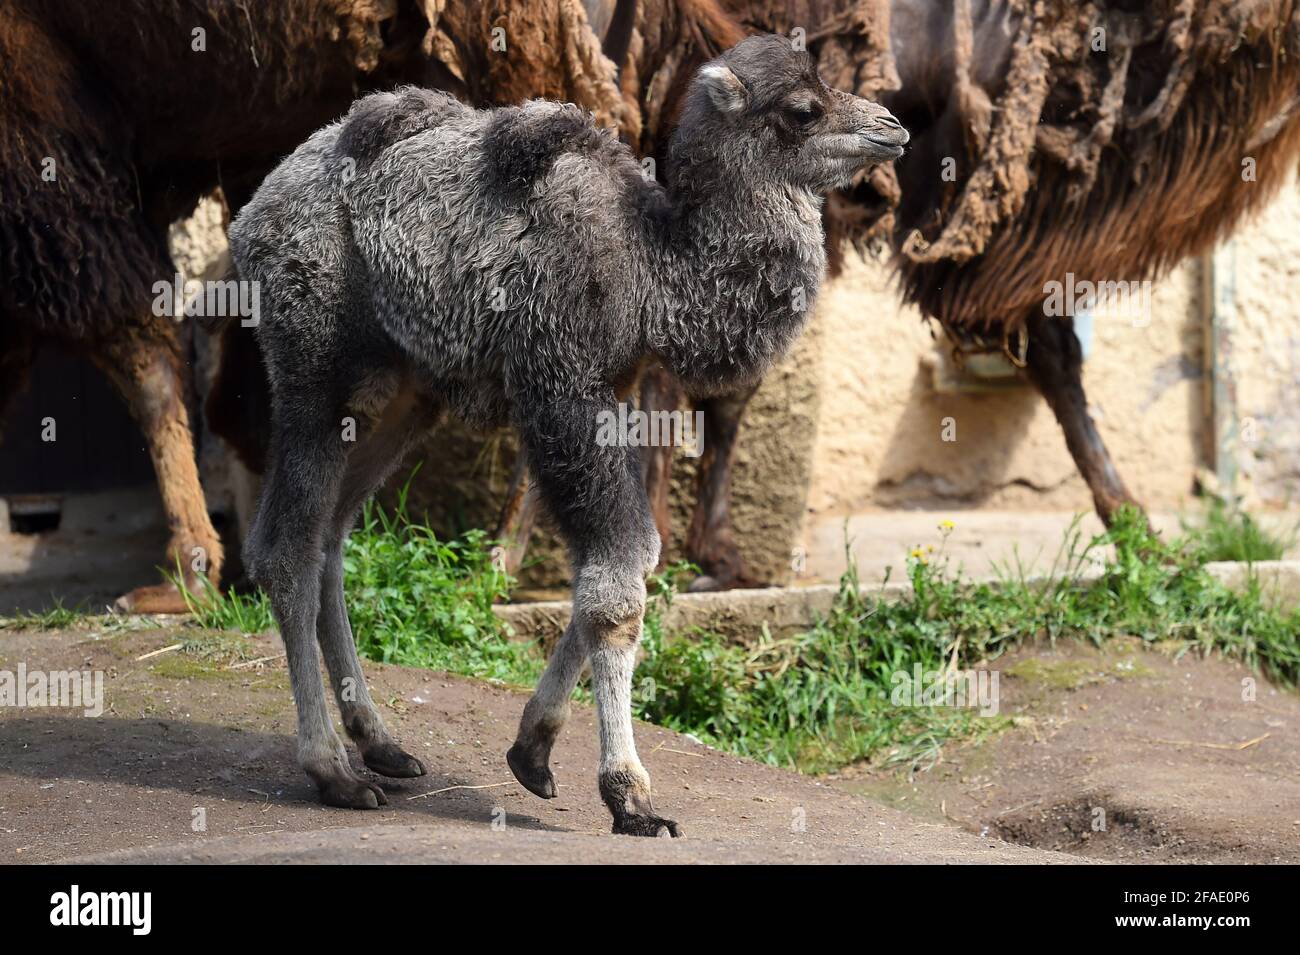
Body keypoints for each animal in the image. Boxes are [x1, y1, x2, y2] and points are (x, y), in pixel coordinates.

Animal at [227, 35, 907, 833]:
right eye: (803, 108)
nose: (892, 126)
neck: (654, 263)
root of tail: (252, 214)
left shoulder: (614, 389)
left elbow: (620, 566)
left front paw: (533, 750)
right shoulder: (560, 386)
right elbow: (617, 582)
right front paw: (631, 794)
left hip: (399, 394)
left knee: (332, 536)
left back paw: (382, 743)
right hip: (314, 363)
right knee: (286, 547)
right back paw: (333, 768)